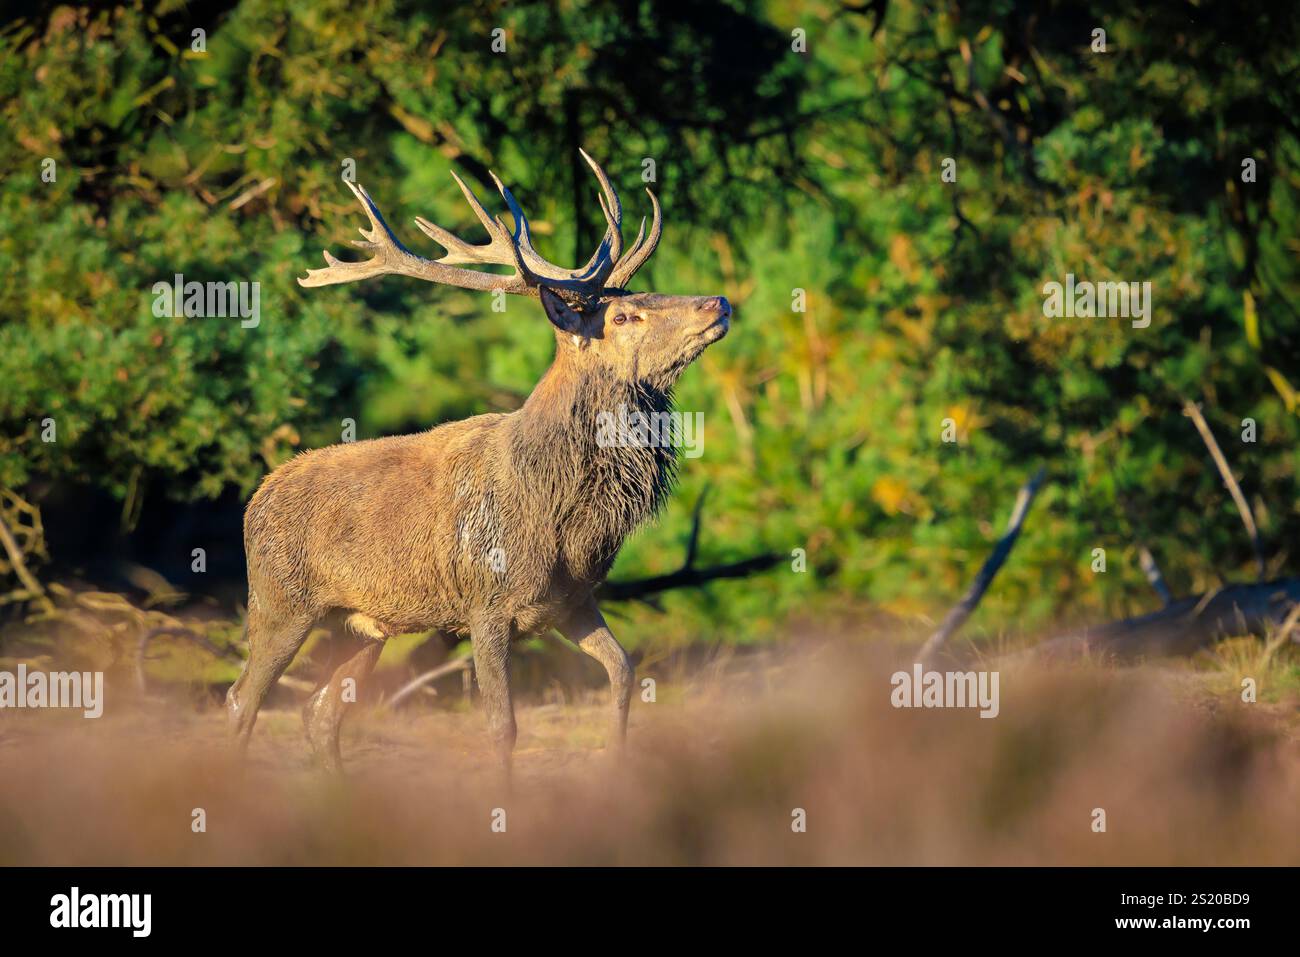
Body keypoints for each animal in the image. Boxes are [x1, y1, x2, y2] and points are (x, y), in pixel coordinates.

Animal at [226, 150, 731, 777]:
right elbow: (502, 726)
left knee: (319, 712)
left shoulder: (573, 600)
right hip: (279, 601)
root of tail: (257, 497)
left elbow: (624, 672)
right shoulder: (484, 605)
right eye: (622, 318)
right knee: (241, 699)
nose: (718, 302)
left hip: (362, 626)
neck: (561, 514)